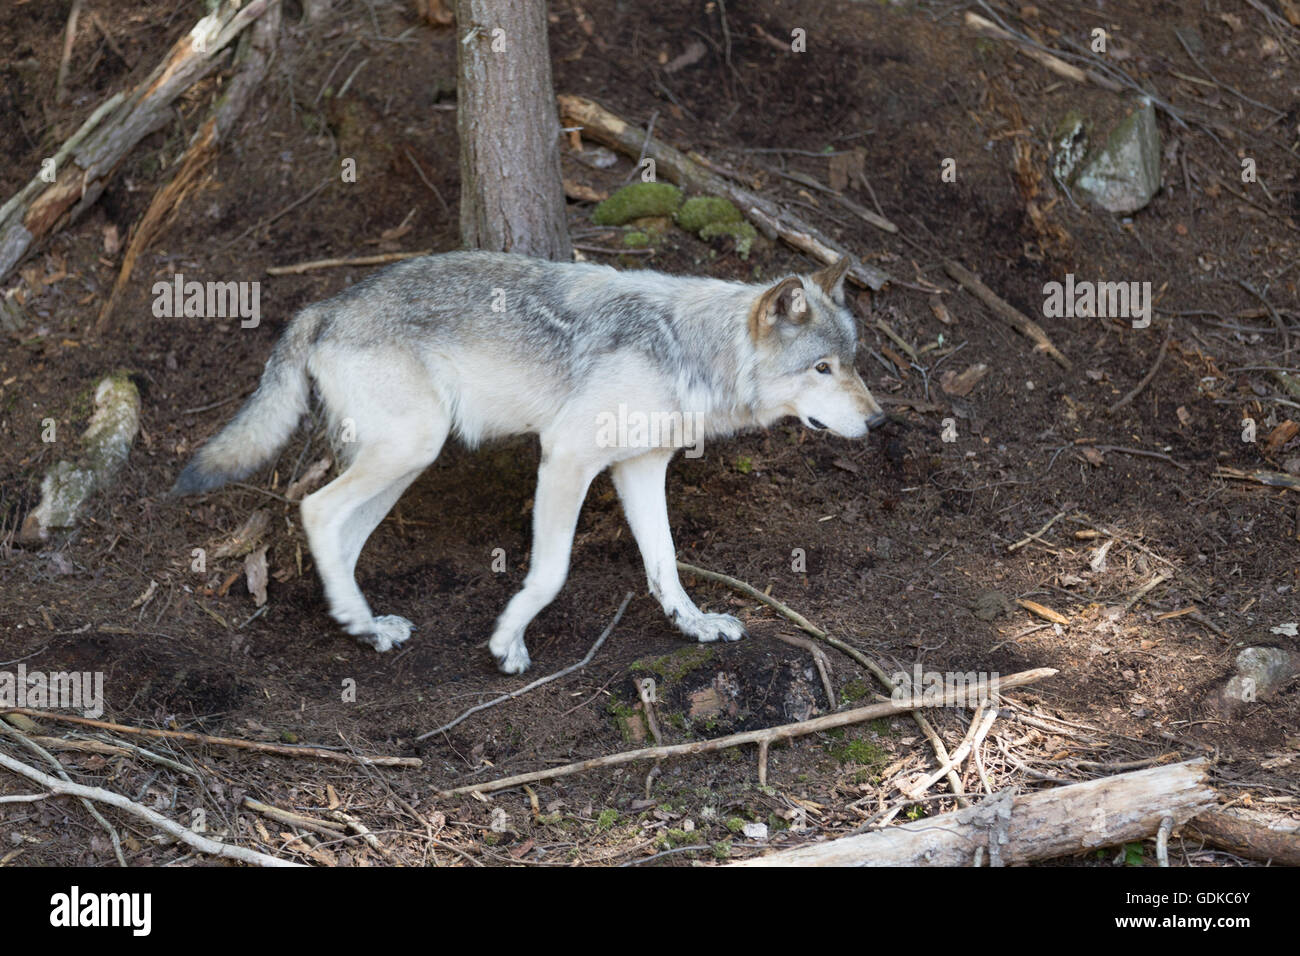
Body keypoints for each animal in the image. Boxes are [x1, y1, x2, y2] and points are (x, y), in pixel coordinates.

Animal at [173, 251, 885, 673]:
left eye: (851, 363)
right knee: (315, 509)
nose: (880, 421)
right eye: (821, 368)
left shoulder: (641, 467)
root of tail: (322, 307)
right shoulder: (567, 456)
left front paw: (694, 625)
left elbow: (665, 563)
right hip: (412, 447)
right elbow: (550, 573)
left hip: (405, 461)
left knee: (342, 540)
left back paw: (366, 627)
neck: (692, 350)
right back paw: (357, 620)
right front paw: (506, 642)